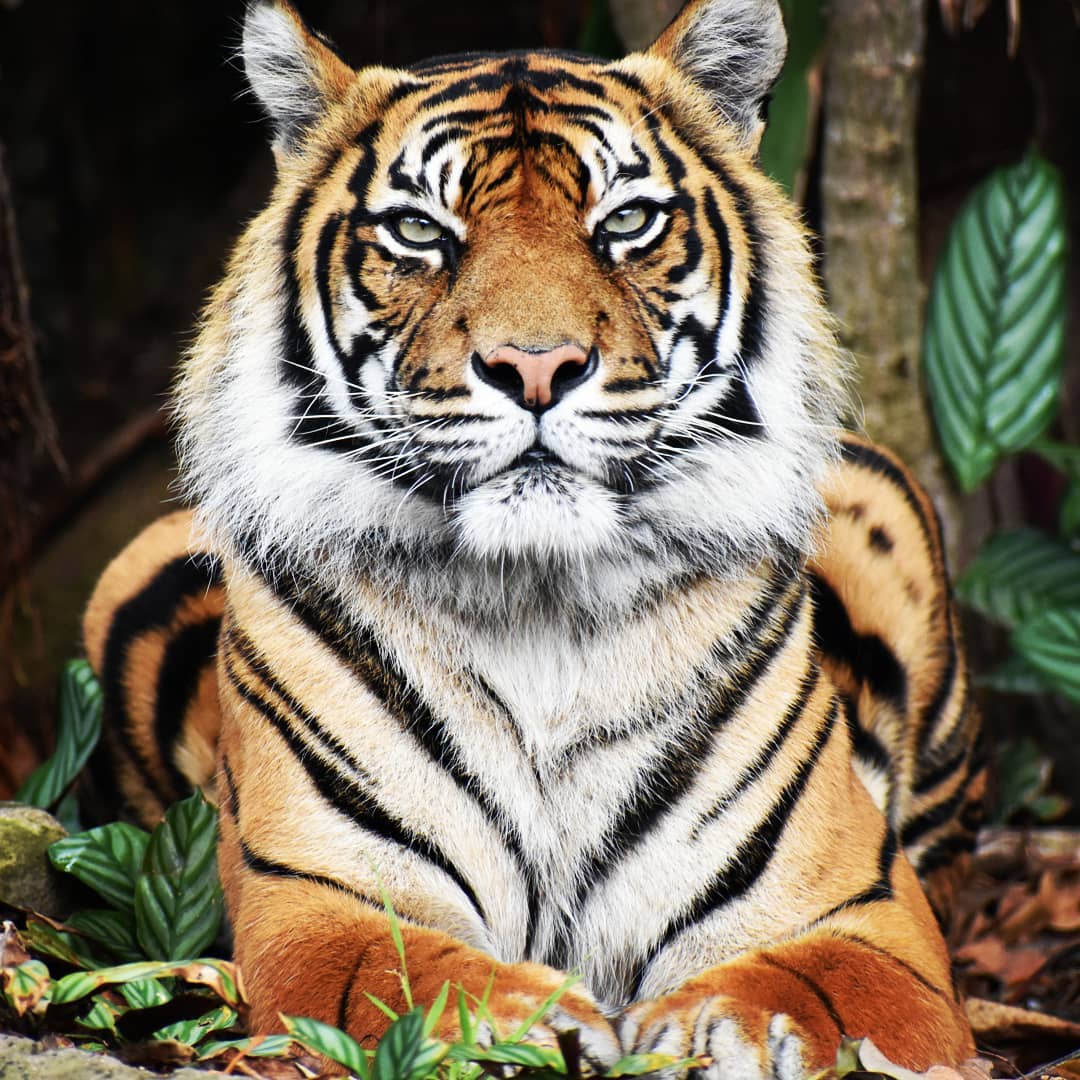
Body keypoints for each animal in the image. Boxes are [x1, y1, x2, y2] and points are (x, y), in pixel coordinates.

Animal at [80, 0, 984, 1075]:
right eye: (420, 231)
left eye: (626, 222)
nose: (537, 366)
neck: (542, 597)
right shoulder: (317, 906)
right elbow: (410, 976)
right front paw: (529, 1017)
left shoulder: (868, 915)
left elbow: (811, 991)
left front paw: (715, 1029)